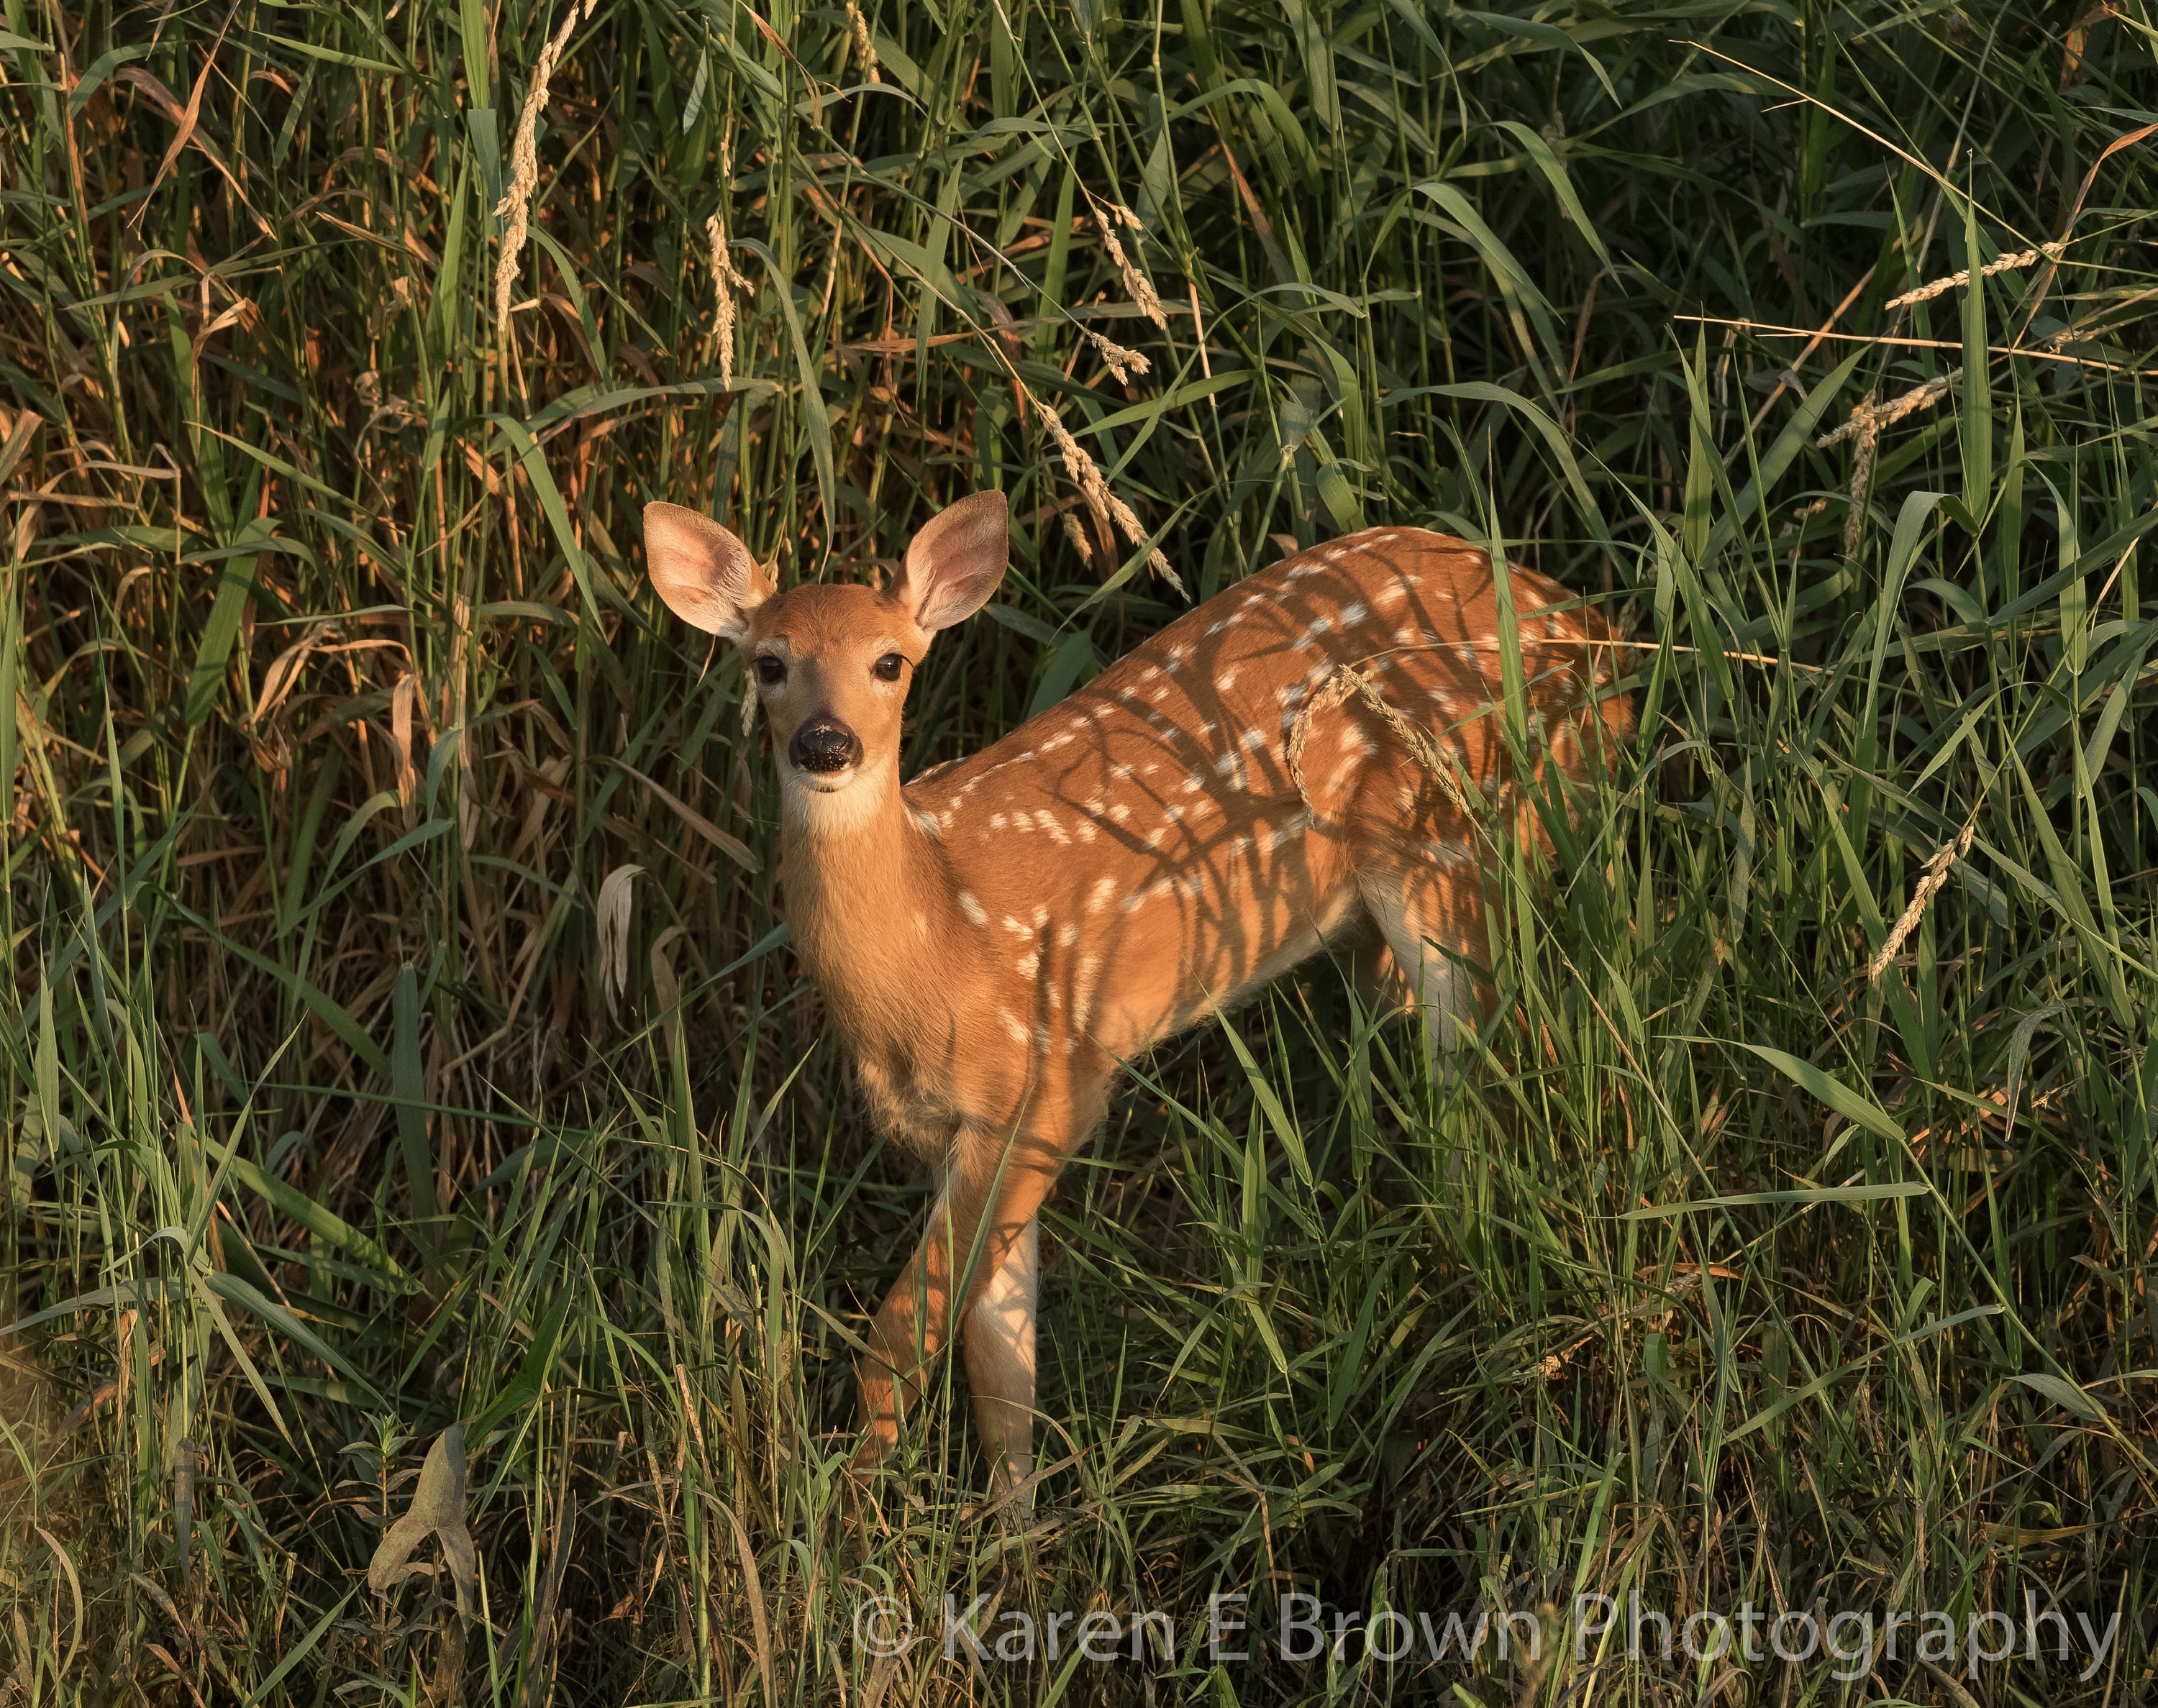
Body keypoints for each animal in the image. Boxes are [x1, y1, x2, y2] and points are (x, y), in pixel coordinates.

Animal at [642, 490, 1630, 1510]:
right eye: (769, 662)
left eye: (891, 660)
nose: (826, 743)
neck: (940, 947)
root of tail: (1593, 637)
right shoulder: (959, 1130)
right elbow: (1002, 1369)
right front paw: (1017, 1532)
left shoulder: (1050, 1086)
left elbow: (902, 1338)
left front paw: (854, 1516)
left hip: (1447, 842)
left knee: (1491, 1074)